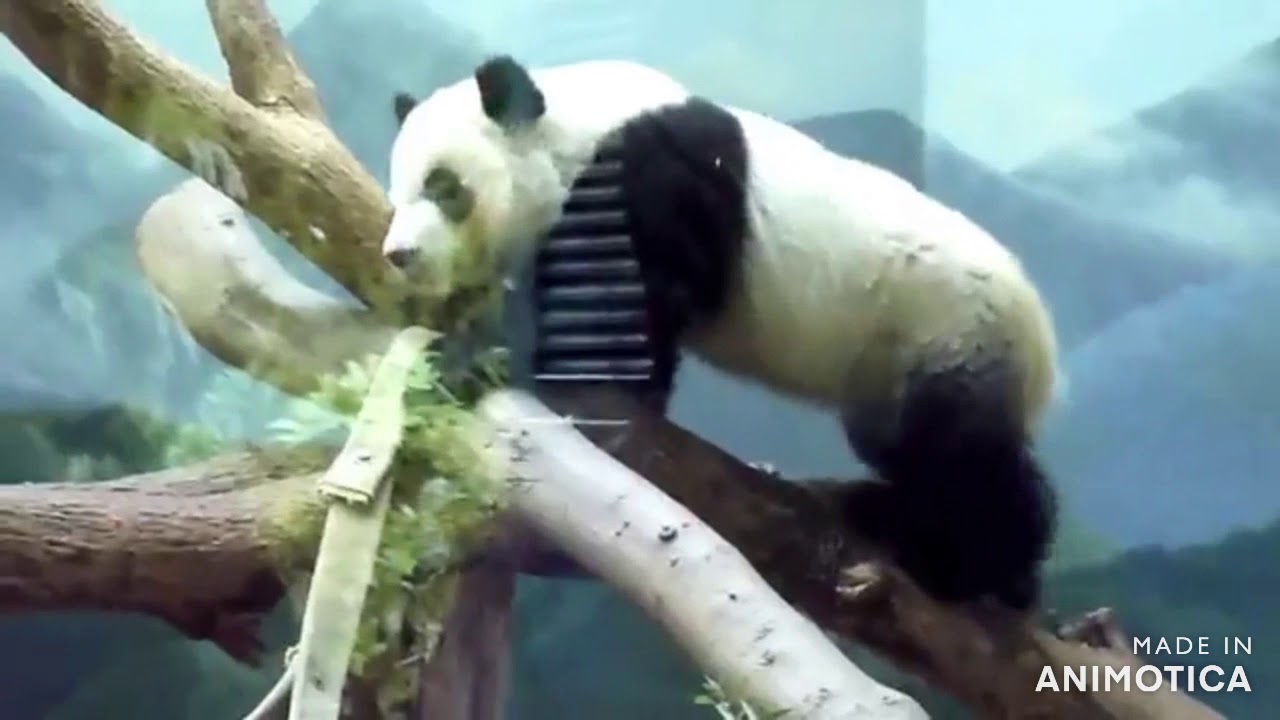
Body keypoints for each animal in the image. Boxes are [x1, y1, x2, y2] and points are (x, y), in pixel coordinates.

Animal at [381, 55, 1063, 612]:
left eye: (444, 187)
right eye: (398, 190)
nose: (399, 255)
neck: (576, 130)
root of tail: (1042, 347)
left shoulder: (654, 177)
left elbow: (641, 304)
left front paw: (482, 359)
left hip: (946, 331)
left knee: (960, 460)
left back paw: (979, 568)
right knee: (903, 446)